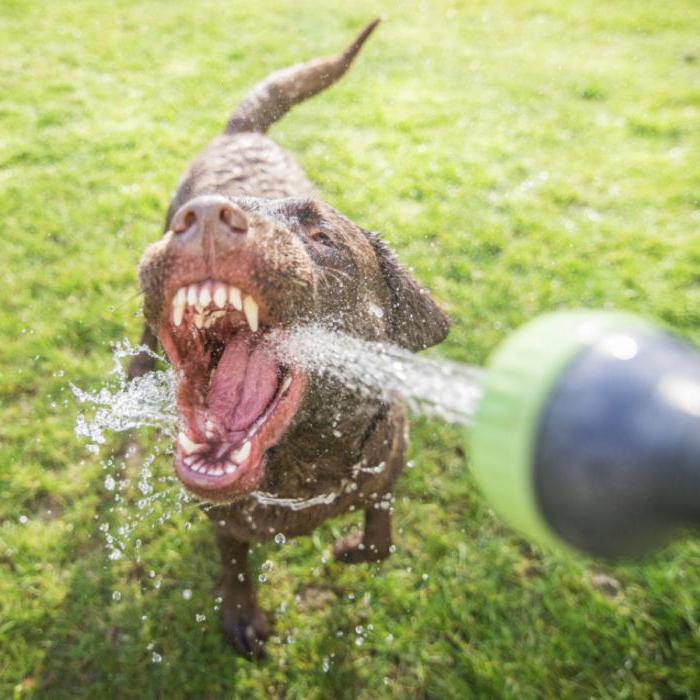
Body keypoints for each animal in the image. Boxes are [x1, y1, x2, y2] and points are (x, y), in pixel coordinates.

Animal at [131, 19, 448, 660]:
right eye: (194, 218)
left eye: (322, 236)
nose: (204, 217)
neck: (299, 469)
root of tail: (243, 131)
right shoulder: (222, 518)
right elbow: (234, 562)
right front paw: (243, 617)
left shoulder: (388, 464)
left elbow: (382, 538)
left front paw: (348, 549)